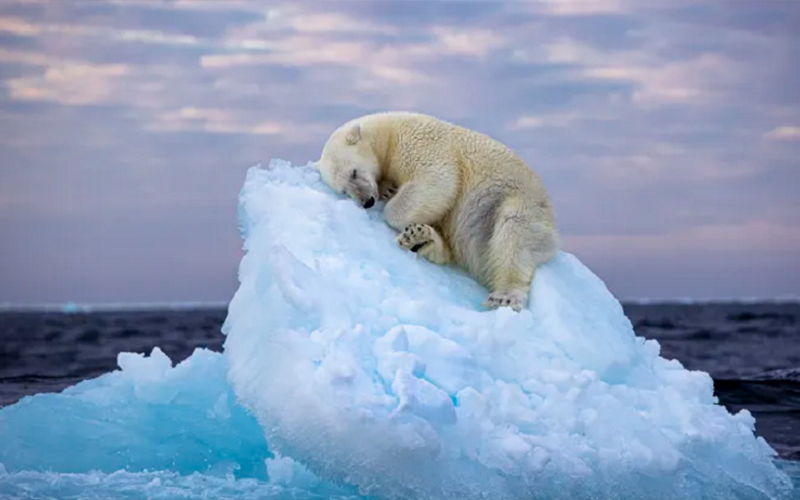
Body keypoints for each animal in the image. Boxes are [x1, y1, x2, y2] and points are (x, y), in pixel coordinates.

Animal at [315, 111, 559, 311]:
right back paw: (421, 239)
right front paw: (388, 189)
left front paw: (391, 202)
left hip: (518, 204)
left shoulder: (419, 144)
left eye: (353, 172)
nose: (367, 201)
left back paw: (504, 296)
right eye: (344, 190)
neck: (388, 132)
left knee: (514, 233)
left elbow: (438, 181)